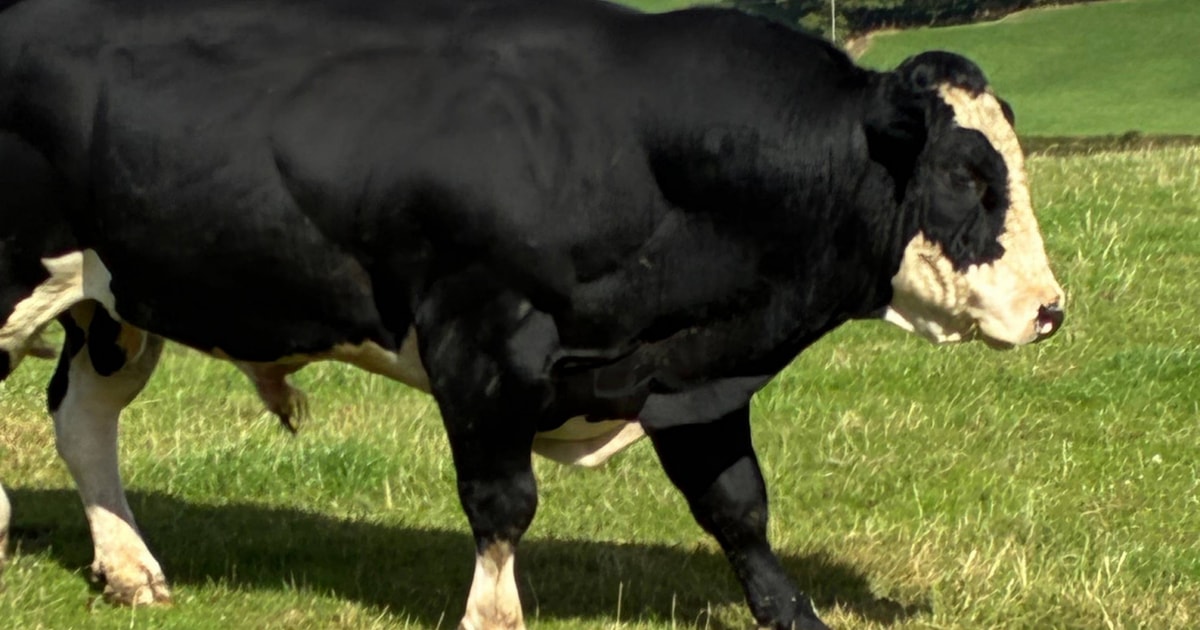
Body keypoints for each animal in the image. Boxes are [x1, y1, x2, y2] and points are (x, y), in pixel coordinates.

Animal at [0, 0, 1065, 628]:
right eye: (970, 178)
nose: (1052, 310)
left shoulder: (688, 370)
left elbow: (739, 506)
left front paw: (790, 613)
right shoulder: (482, 340)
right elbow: (502, 502)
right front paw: (493, 616)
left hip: (114, 304)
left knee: (82, 417)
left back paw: (129, 568)